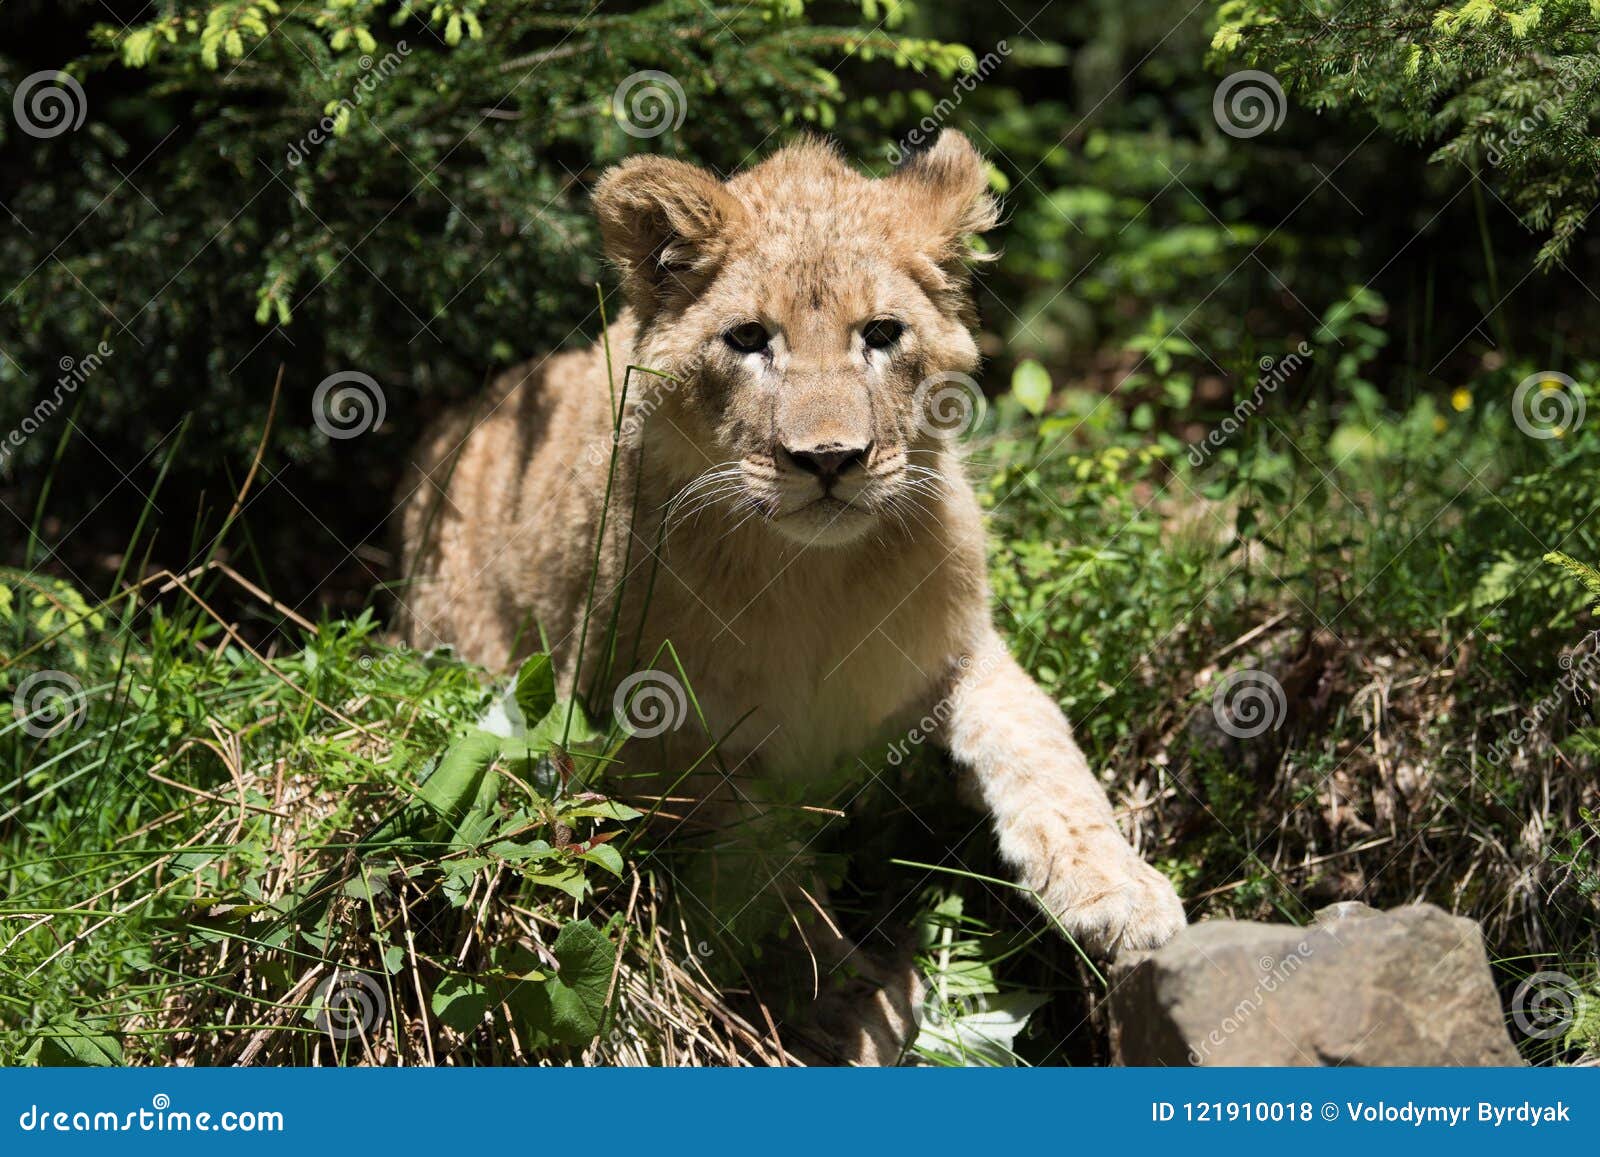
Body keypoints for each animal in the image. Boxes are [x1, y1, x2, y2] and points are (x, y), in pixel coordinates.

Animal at [397, 130, 1185, 1058]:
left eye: (881, 333)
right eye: (748, 338)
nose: (830, 458)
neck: (814, 580)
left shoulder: (958, 651)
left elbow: (1042, 742)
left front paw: (1119, 890)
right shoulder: (625, 731)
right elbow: (757, 860)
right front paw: (853, 999)